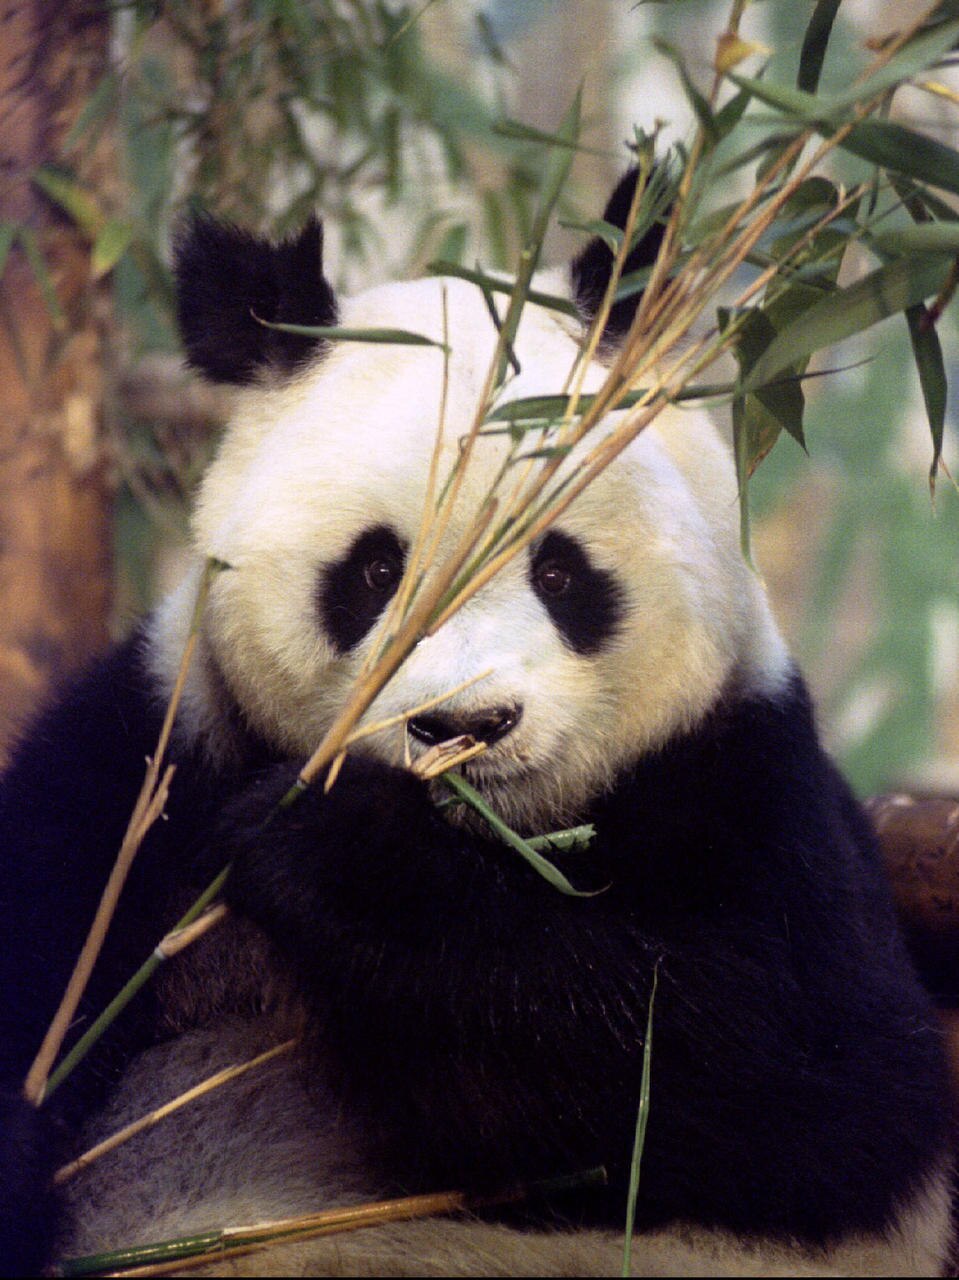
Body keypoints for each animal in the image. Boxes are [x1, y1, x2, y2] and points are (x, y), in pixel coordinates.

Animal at [0, 172, 953, 1277]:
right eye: (375, 571)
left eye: (560, 571)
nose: (466, 722)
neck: (494, 848)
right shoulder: (148, 759)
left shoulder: (746, 779)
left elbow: (807, 1086)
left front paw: (344, 856)